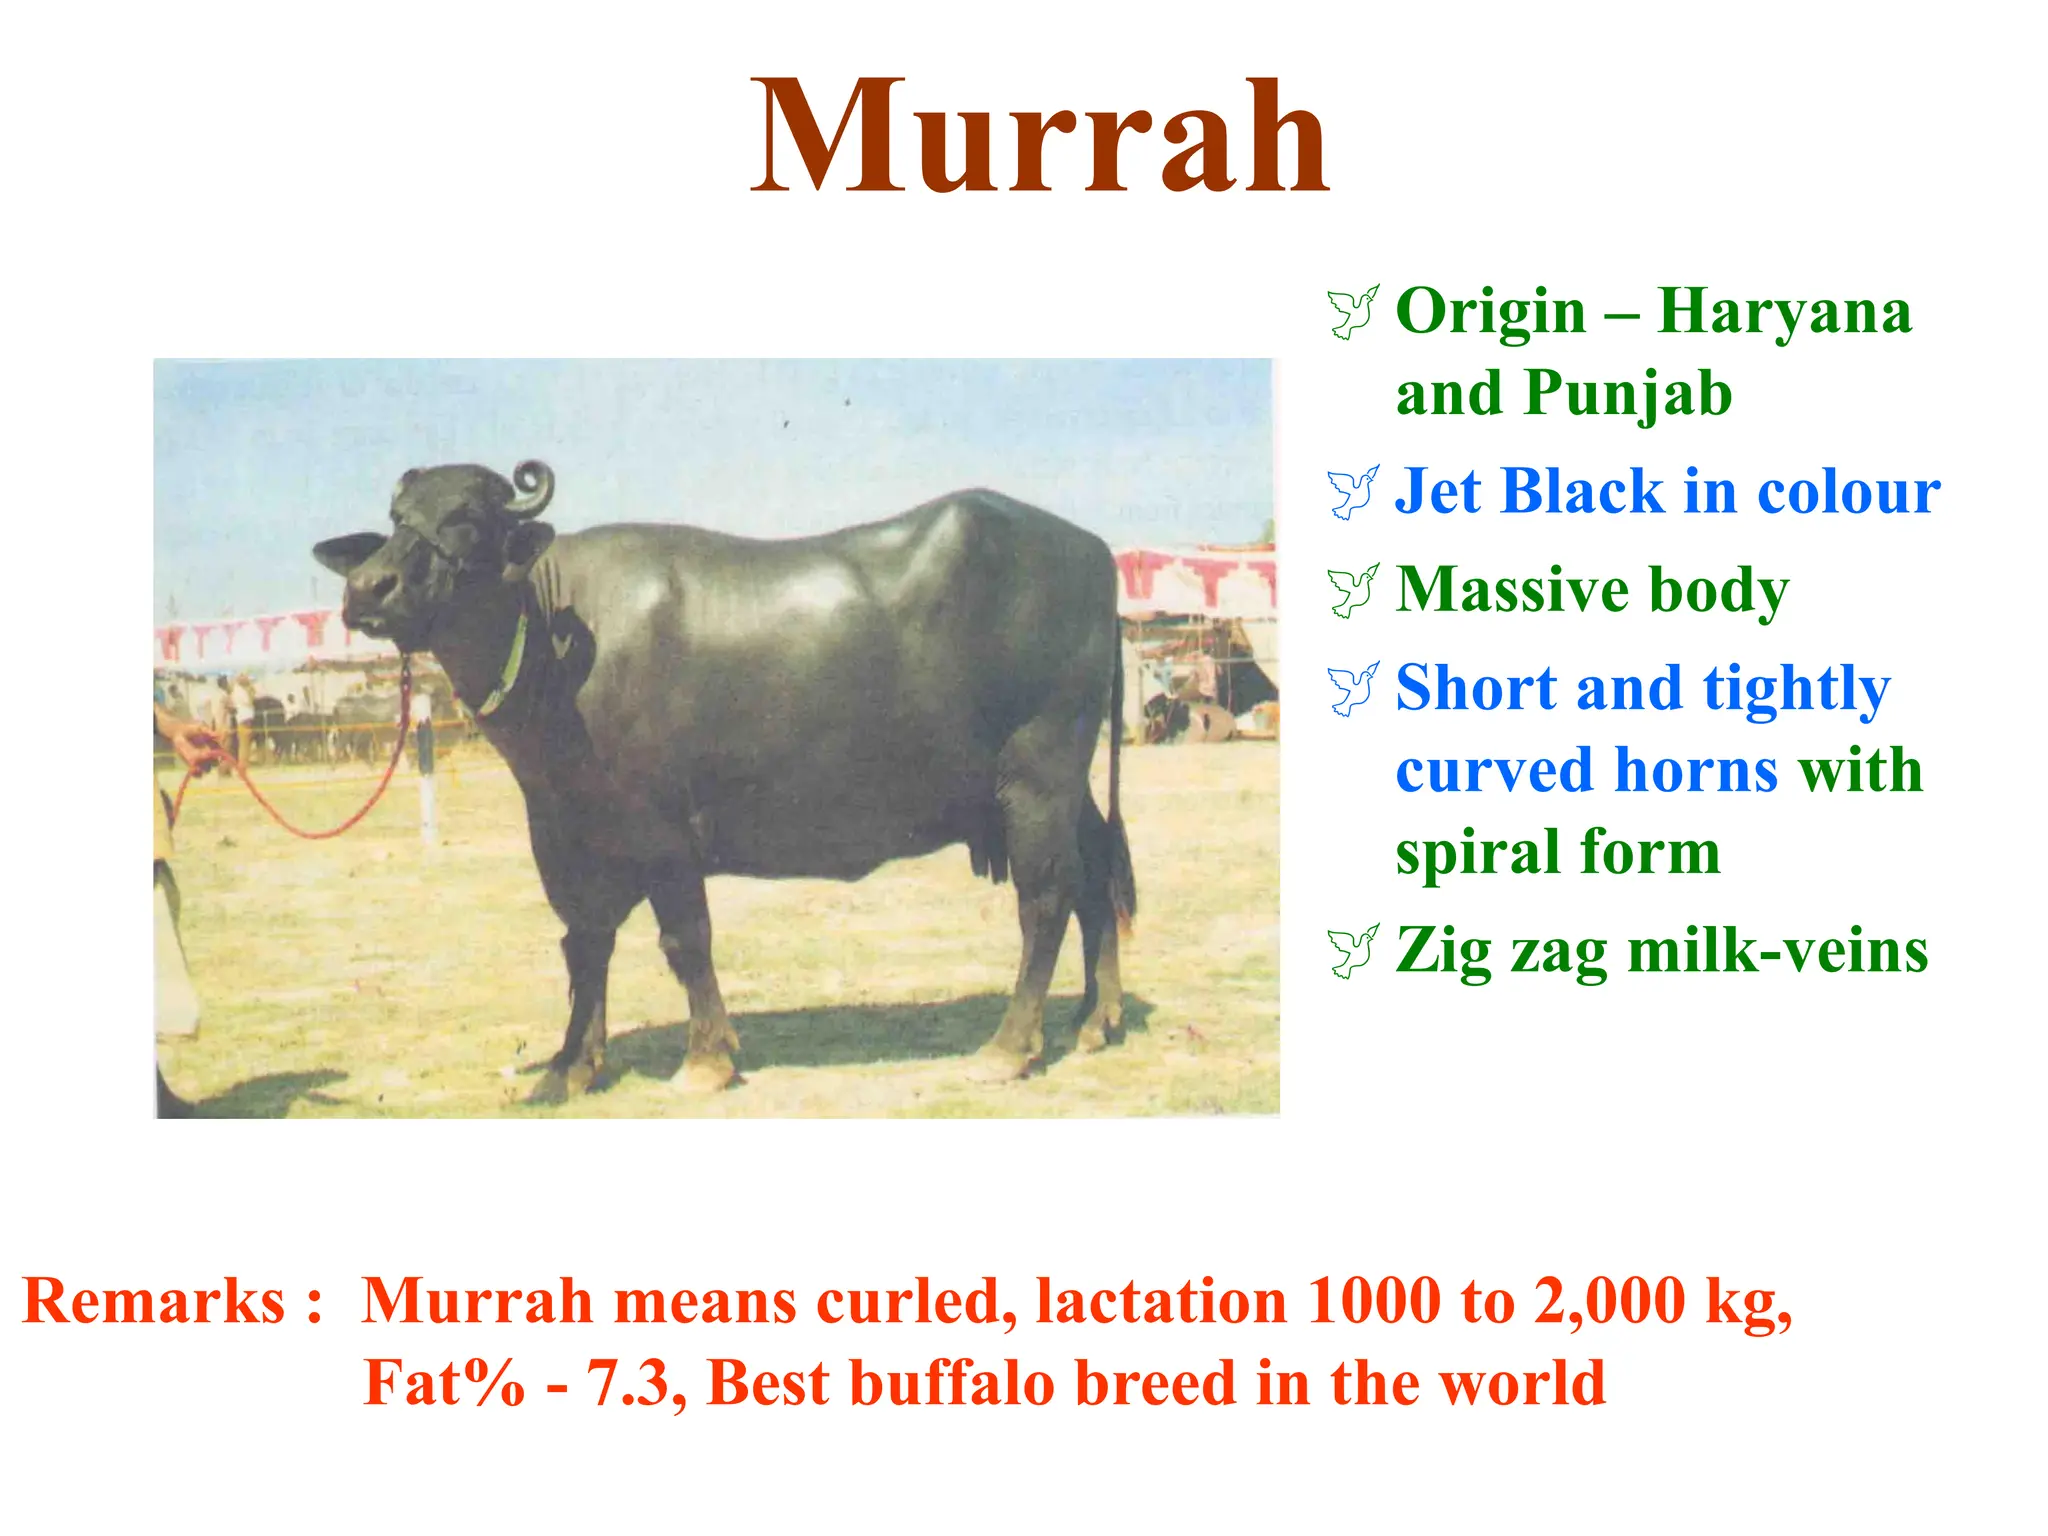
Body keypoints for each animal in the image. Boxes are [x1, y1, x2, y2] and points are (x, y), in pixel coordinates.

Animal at [314, 461, 1136, 1101]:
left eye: (467, 520)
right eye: (396, 518)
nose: (370, 587)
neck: (555, 638)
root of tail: (1093, 552)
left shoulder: (661, 831)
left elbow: (685, 939)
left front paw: (706, 1058)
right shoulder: (561, 833)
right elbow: (584, 943)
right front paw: (571, 1064)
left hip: (1038, 776)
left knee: (1045, 898)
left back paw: (1009, 1046)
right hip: (1067, 788)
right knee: (1096, 872)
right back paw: (1095, 1018)